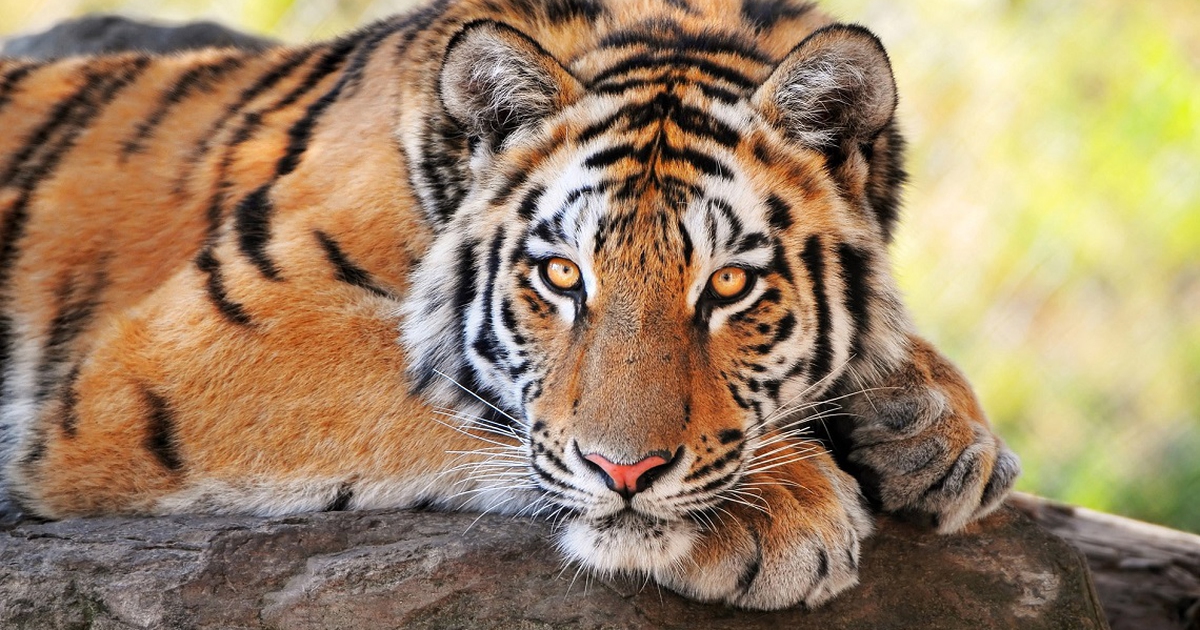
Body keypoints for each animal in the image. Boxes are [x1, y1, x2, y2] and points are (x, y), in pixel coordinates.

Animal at [0, 0, 1020, 610]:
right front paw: (783, 508)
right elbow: (460, 395)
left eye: (729, 284)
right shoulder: (189, 349)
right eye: (562, 277)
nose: (626, 473)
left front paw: (935, 430)